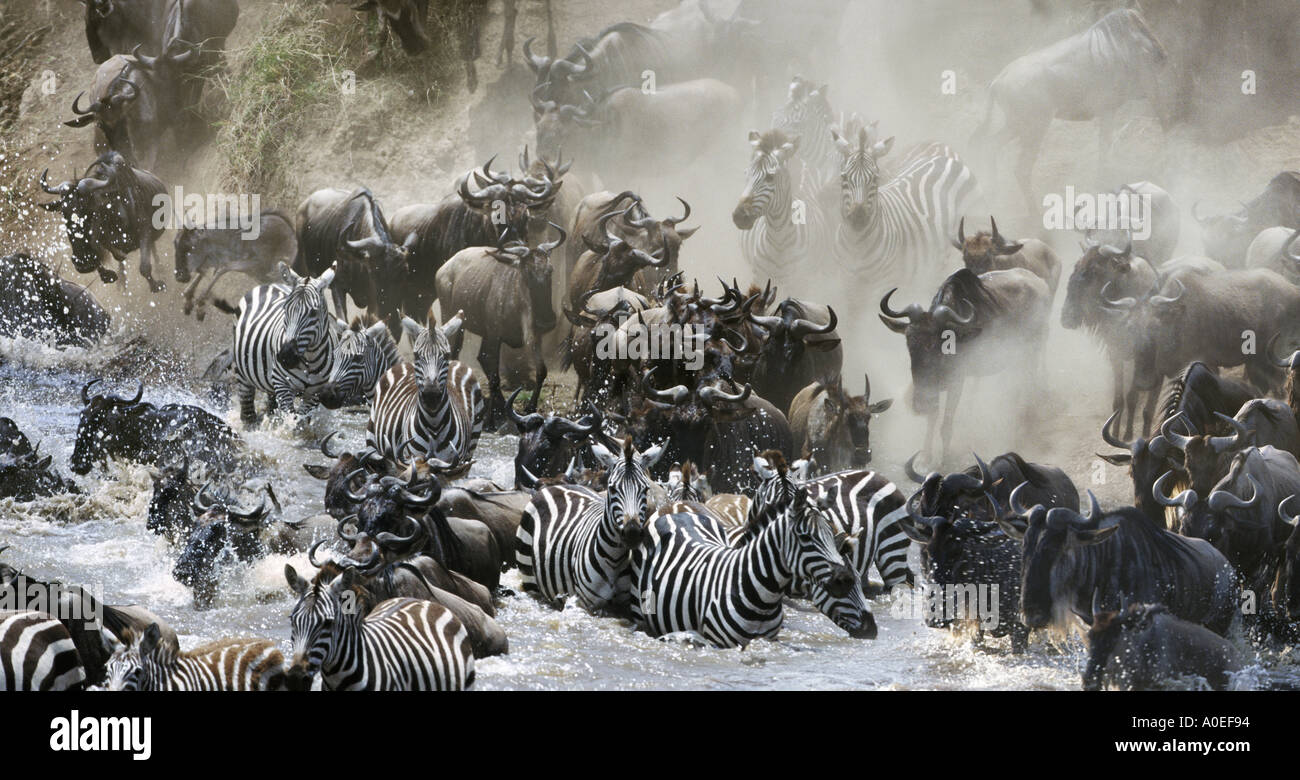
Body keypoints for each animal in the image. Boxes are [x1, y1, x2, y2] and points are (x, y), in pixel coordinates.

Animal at [230, 262, 340, 424]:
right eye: (286, 309)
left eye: (313, 313)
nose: (285, 357)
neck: (310, 359)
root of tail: (267, 284)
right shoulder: (282, 384)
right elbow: (290, 418)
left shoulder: (315, 394)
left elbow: (301, 421)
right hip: (242, 372)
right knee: (247, 408)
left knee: (271, 405)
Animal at [366, 310, 485, 475]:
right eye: (417, 355)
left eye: (446, 355)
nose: (431, 395)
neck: (434, 424)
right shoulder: (412, 458)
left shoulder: (451, 462)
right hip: (372, 440)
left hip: (471, 447)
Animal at [515, 437, 664, 615]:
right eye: (612, 488)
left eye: (645, 489)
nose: (632, 533)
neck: (615, 559)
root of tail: (554, 485)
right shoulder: (587, 604)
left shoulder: (625, 607)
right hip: (528, 574)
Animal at [732, 129, 828, 288]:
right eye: (746, 174)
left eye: (770, 178)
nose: (738, 216)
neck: (779, 242)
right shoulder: (759, 277)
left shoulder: (800, 283)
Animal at [829, 121, 978, 288]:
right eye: (844, 177)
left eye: (875, 178)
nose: (858, 217)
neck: (856, 244)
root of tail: (945, 154)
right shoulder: (845, 280)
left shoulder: (884, 282)